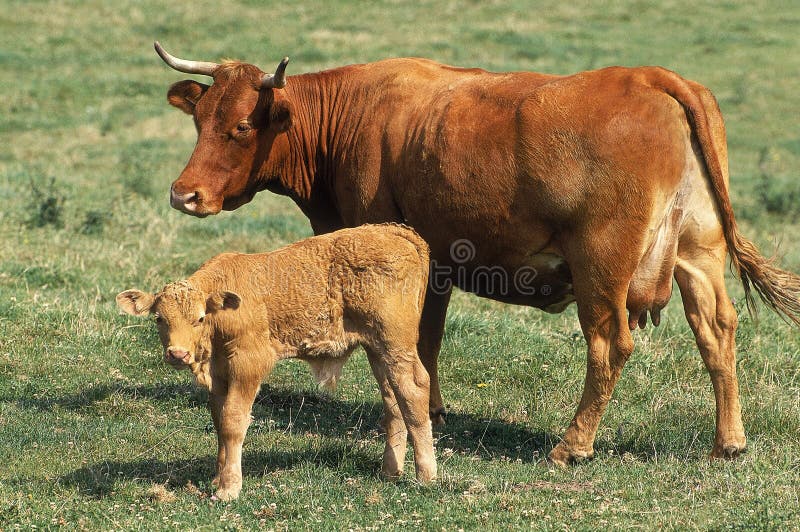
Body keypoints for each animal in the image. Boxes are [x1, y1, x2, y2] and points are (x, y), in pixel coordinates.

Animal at [117, 224, 436, 500]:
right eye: (159, 319)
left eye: (199, 318)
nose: (178, 354)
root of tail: (389, 230)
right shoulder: (219, 374)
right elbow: (219, 419)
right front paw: (218, 477)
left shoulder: (248, 364)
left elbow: (233, 420)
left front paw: (228, 488)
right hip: (378, 350)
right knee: (393, 399)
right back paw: (390, 471)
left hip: (396, 345)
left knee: (414, 390)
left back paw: (426, 475)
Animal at [154, 42, 800, 466]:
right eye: (200, 120)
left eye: (242, 126)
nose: (184, 194)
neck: (353, 117)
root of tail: (651, 77)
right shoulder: (435, 264)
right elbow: (428, 342)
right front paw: (431, 412)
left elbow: (406, 346)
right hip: (697, 253)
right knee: (717, 331)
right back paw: (729, 440)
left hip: (601, 265)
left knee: (610, 346)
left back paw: (573, 445)